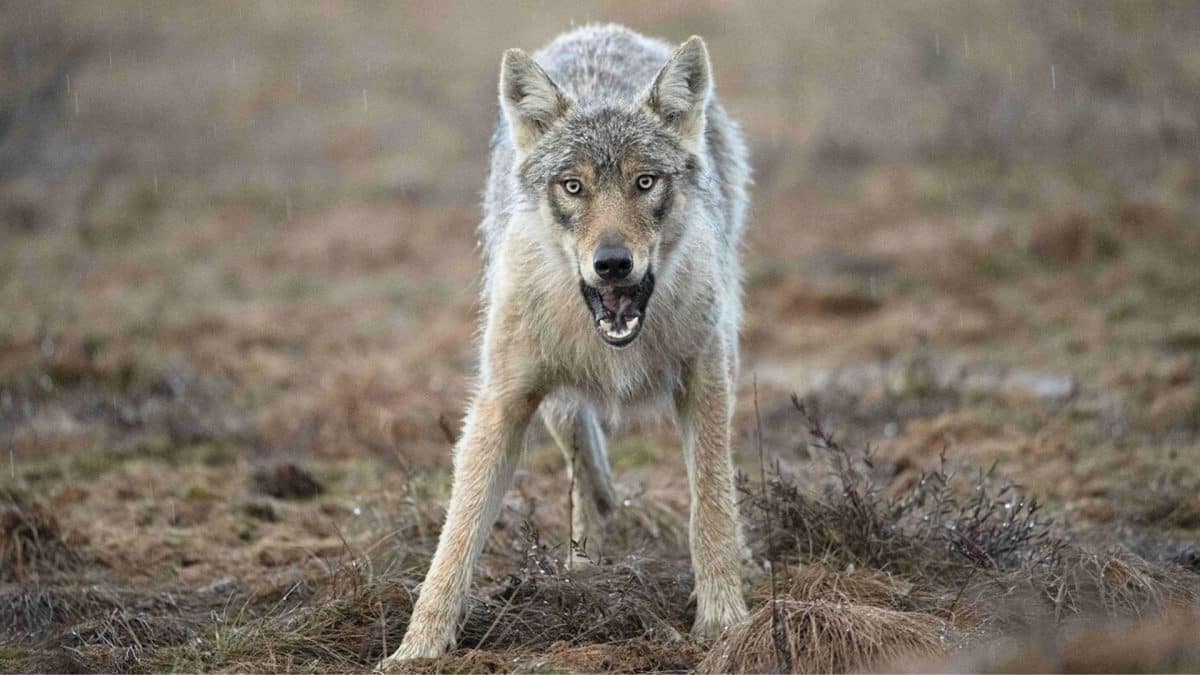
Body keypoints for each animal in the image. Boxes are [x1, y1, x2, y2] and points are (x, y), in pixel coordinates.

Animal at [380, 24, 750, 665]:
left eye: (644, 182)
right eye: (573, 186)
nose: (613, 264)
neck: (615, 345)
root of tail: (603, 29)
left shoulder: (706, 378)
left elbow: (712, 505)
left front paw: (726, 623)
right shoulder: (502, 400)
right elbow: (457, 534)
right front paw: (417, 650)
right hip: (547, 397)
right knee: (581, 456)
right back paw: (588, 555)